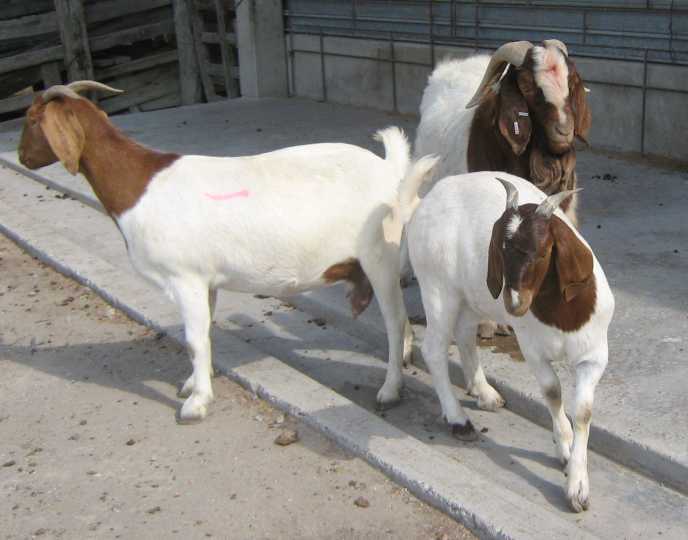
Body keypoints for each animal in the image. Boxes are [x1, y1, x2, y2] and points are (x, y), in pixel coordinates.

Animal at [18, 81, 420, 422]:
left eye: (33, 119)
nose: (21, 157)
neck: (140, 186)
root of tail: (389, 170)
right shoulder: (205, 281)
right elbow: (206, 333)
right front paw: (193, 384)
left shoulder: (185, 278)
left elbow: (195, 340)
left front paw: (196, 404)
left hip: (380, 256)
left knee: (394, 319)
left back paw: (390, 389)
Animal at [397, 162, 614, 512]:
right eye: (499, 247)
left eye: (542, 251)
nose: (514, 304)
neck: (560, 316)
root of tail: (422, 205)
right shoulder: (532, 350)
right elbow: (552, 392)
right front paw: (565, 447)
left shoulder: (593, 356)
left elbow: (583, 411)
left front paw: (577, 485)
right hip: (439, 288)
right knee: (433, 349)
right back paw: (458, 420)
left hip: (471, 295)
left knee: (464, 333)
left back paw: (485, 393)